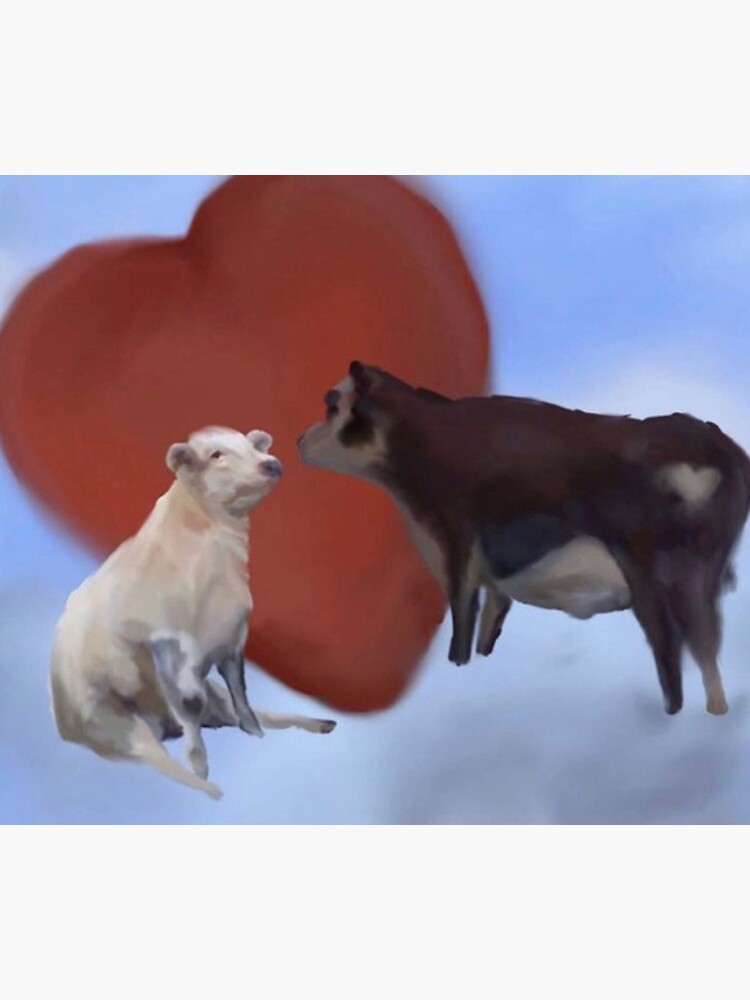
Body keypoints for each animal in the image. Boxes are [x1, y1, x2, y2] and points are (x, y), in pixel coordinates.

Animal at [298, 362, 750, 716]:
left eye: (331, 403)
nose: (300, 440)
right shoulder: (493, 569)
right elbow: (491, 617)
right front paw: (480, 662)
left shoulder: (457, 541)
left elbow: (462, 614)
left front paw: (458, 664)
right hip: (700, 571)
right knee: (705, 638)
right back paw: (715, 710)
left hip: (646, 569)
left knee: (668, 640)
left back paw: (673, 712)